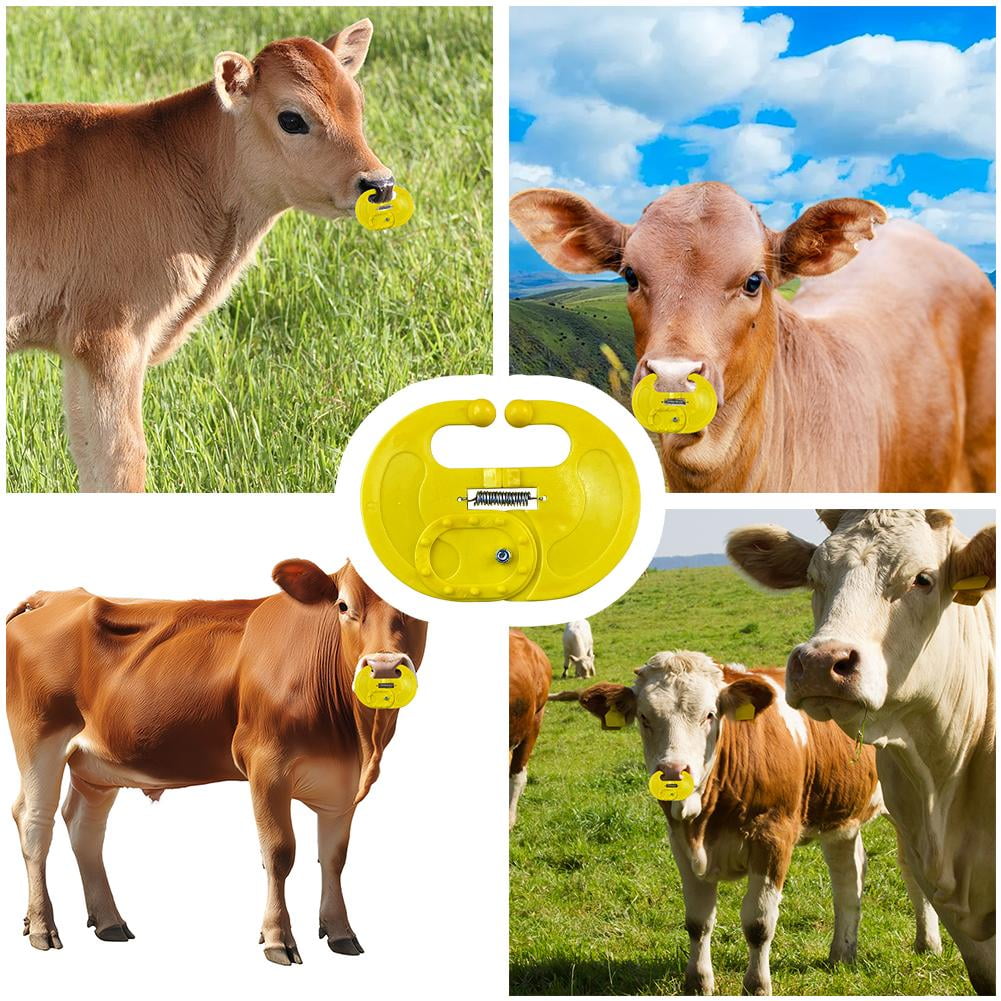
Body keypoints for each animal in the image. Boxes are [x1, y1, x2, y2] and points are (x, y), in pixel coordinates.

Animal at [5, 559, 426, 966]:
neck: (358, 739)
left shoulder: (342, 783)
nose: (384, 668)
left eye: (414, 610)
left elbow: (334, 858)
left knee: (84, 826)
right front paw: (278, 938)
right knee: (34, 821)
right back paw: (43, 927)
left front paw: (340, 933)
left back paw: (109, 921)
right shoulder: (266, 764)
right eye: (343, 605)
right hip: (40, 737)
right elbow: (279, 852)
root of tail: (53, 596)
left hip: (97, 763)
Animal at [7, 19, 395, 492]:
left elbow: (87, 452)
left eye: (357, 104)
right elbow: (122, 460)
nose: (379, 183)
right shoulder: (109, 334)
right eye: (291, 119)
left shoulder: (78, 345)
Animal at [571, 651, 937, 996]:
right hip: (841, 816)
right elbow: (698, 921)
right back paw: (842, 953)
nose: (673, 772)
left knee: (912, 869)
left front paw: (757, 985)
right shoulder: (681, 844)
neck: (707, 821)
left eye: (709, 715)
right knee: (849, 874)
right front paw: (697, 982)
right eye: (645, 718)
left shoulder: (774, 838)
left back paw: (929, 943)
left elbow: (758, 923)